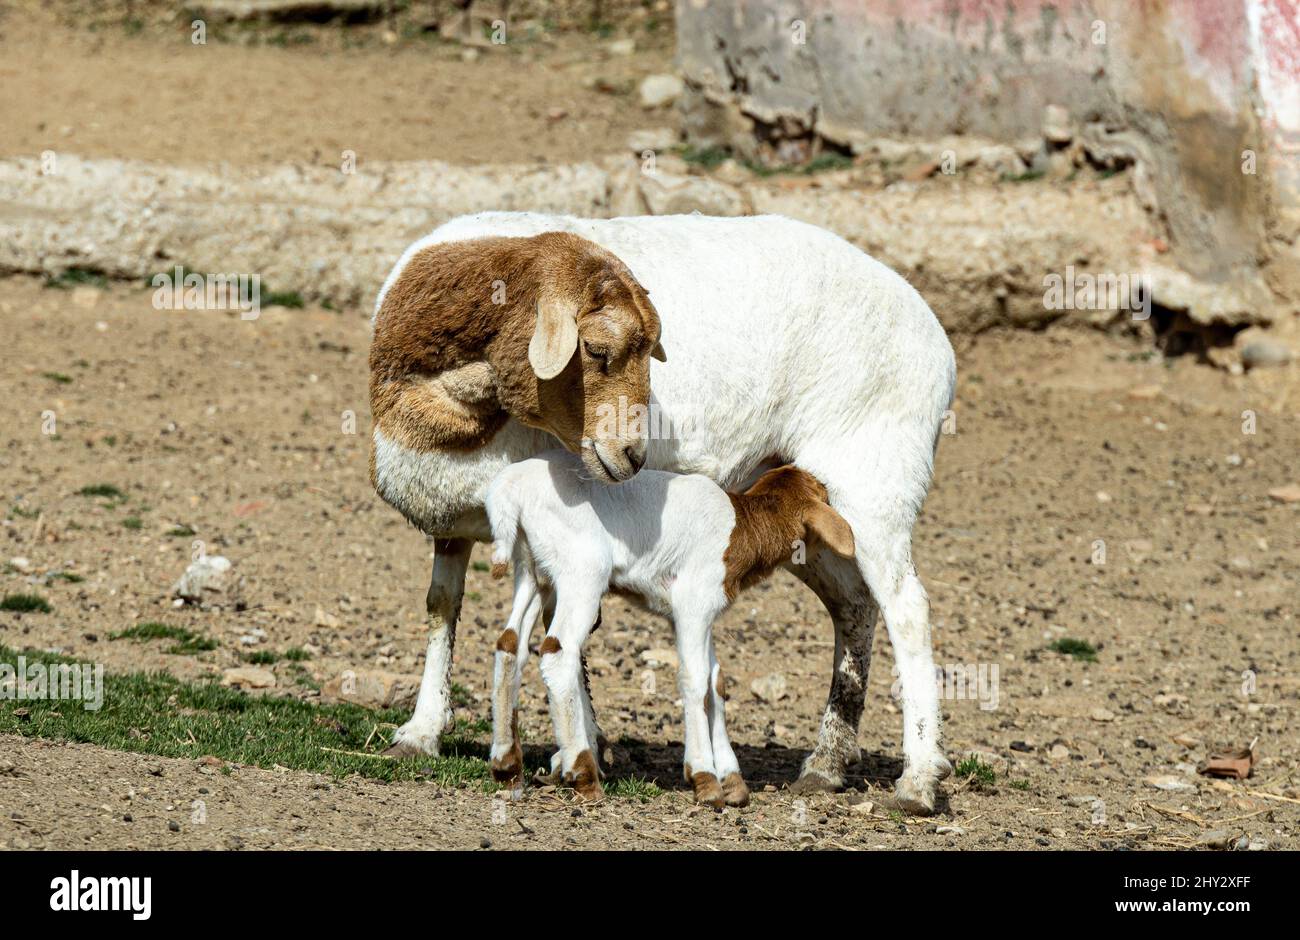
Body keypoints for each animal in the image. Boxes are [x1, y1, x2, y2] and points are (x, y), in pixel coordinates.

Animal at [483, 451, 855, 807]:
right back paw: (582, 773)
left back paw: (506, 764)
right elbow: (695, 680)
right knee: (557, 654)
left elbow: (715, 681)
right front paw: (705, 779)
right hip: (582, 571)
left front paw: (732, 781)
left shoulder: (700, 612)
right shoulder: (692, 601)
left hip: (533, 570)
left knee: (509, 644)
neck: (741, 529)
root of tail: (511, 488)